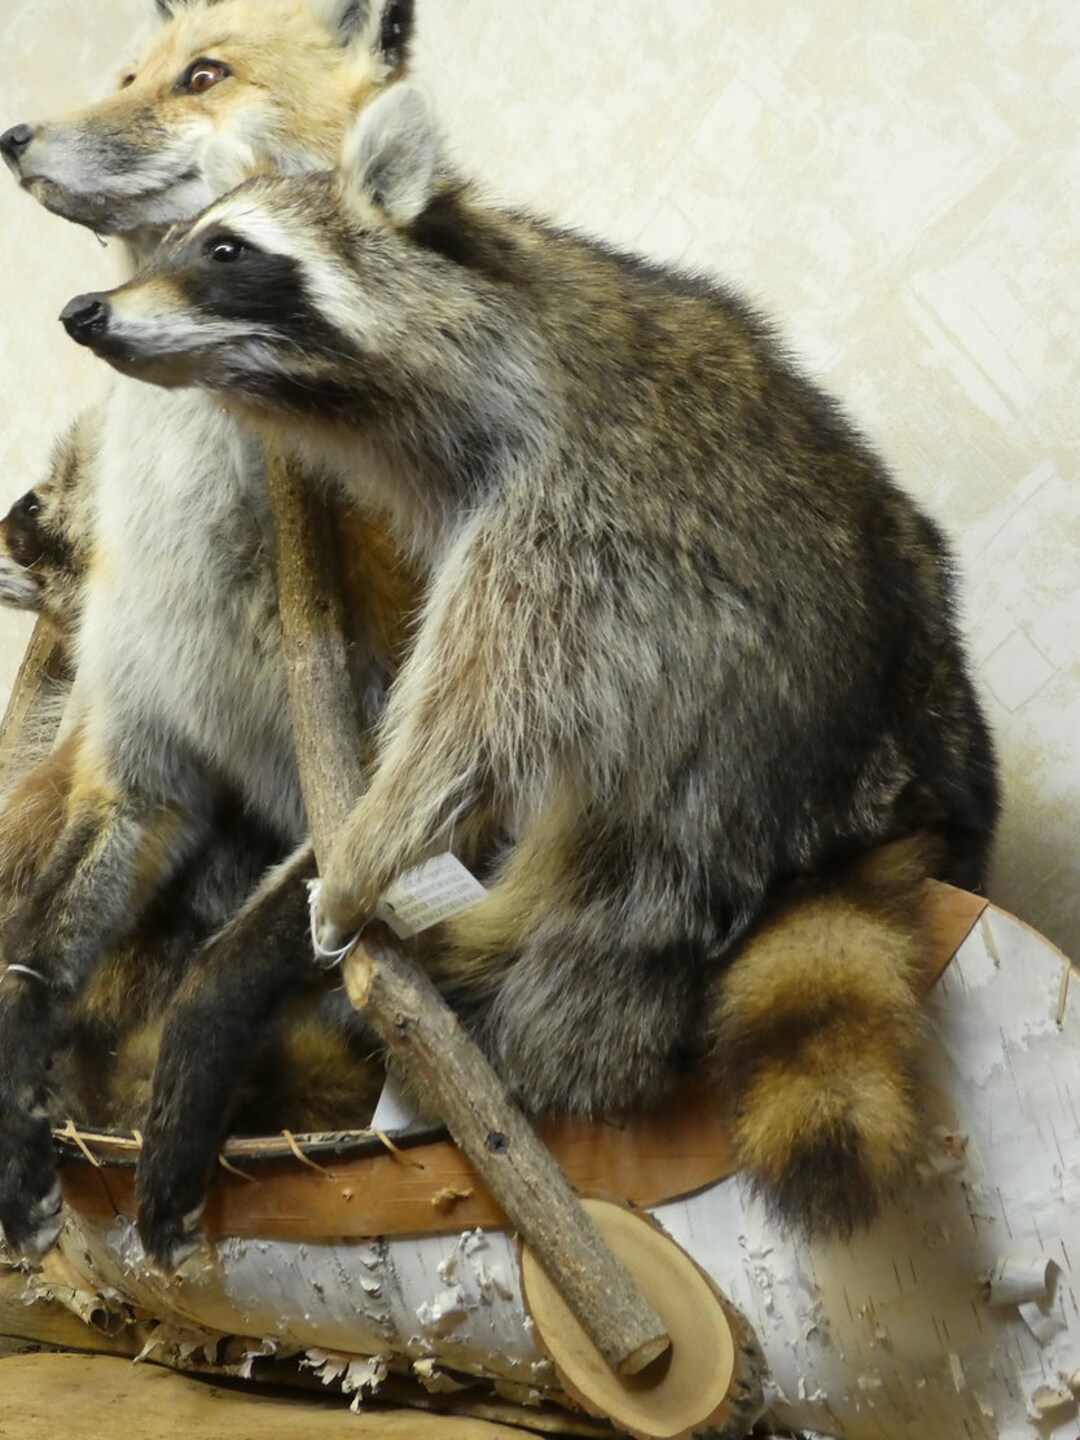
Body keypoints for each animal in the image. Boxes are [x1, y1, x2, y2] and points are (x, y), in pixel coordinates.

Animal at [0, 0, 418, 1255]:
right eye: (120, 76)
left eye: (204, 77)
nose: (13, 134)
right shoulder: (142, 776)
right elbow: (31, 977)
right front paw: (21, 1160)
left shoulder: (395, 776)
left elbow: (221, 974)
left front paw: (175, 1143)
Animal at [65, 84, 999, 1260]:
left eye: (226, 249)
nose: (83, 312)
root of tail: (890, 801)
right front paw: (235, 971)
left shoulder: (574, 521)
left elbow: (464, 735)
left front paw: (355, 864)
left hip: (676, 859)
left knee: (575, 953)